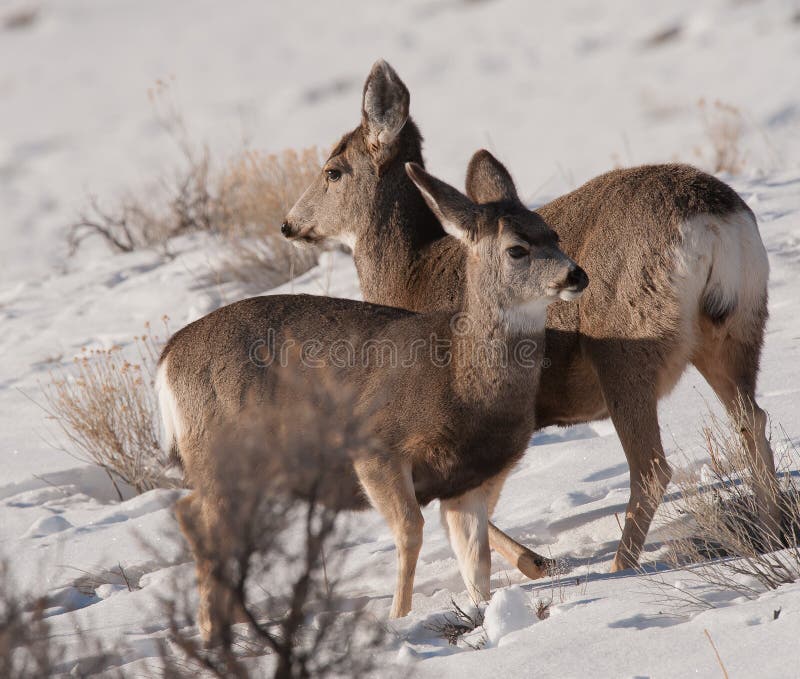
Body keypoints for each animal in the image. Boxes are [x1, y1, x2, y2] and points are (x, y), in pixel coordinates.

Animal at [159, 161, 588, 645]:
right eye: (517, 249)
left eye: (554, 234)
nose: (577, 275)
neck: (461, 382)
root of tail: (167, 358)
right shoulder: (376, 447)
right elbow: (410, 531)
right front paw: (399, 618)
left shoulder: (473, 478)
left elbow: (473, 559)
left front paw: (485, 611)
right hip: (221, 457)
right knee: (201, 520)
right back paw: (215, 630)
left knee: (201, 518)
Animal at [282, 59, 779, 577]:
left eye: (332, 171)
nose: (289, 225)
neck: (410, 276)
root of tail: (712, 221)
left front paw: (536, 563)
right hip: (739, 324)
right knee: (752, 421)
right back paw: (773, 534)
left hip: (624, 344)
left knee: (652, 465)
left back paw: (620, 568)